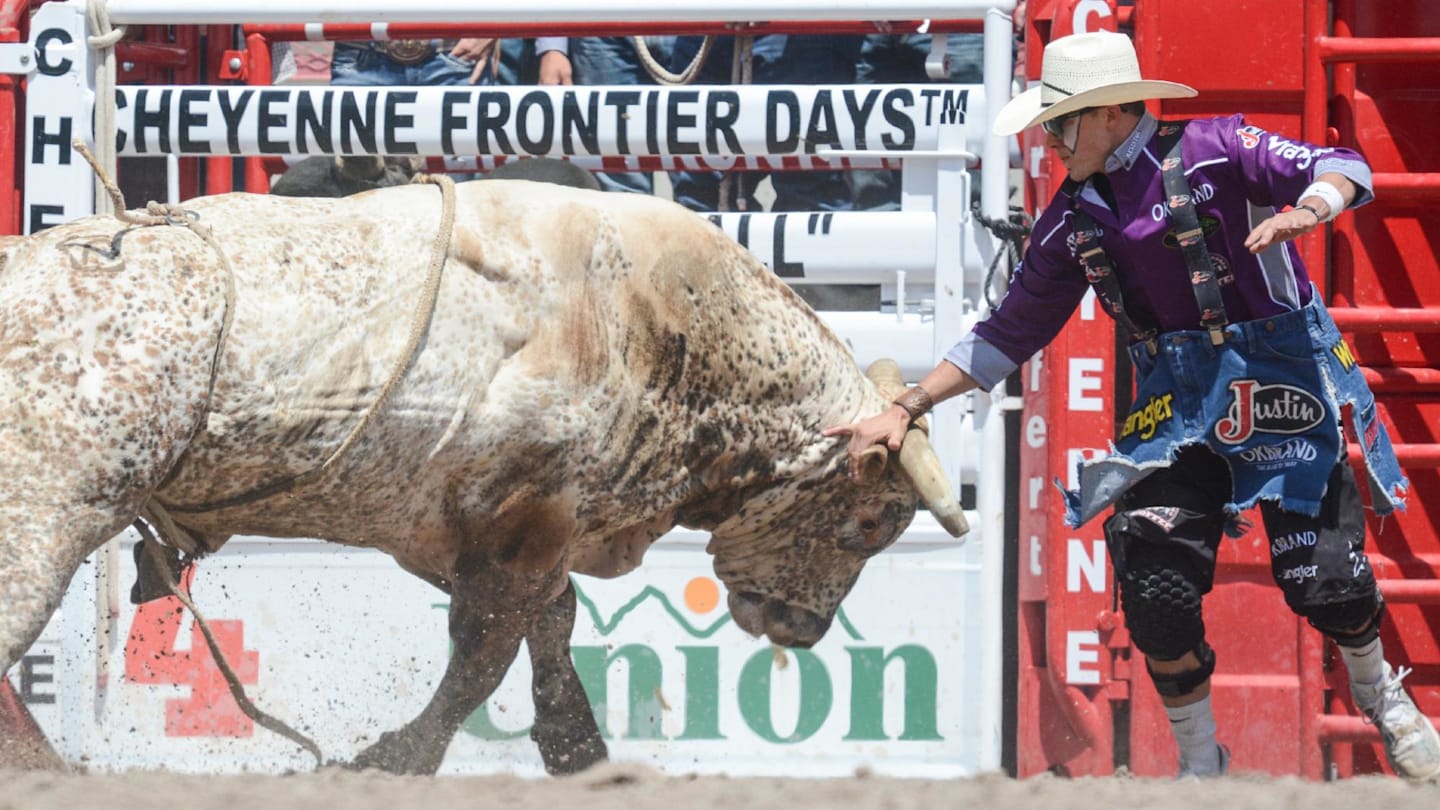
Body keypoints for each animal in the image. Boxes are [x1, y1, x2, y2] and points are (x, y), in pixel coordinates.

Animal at [0, 178, 966, 774]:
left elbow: (550, 627)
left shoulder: (471, 533)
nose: (804, 629)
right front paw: (392, 761)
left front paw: (579, 752)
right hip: (43, 518)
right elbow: (485, 655)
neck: (664, 325)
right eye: (872, 523)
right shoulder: (525, 523)